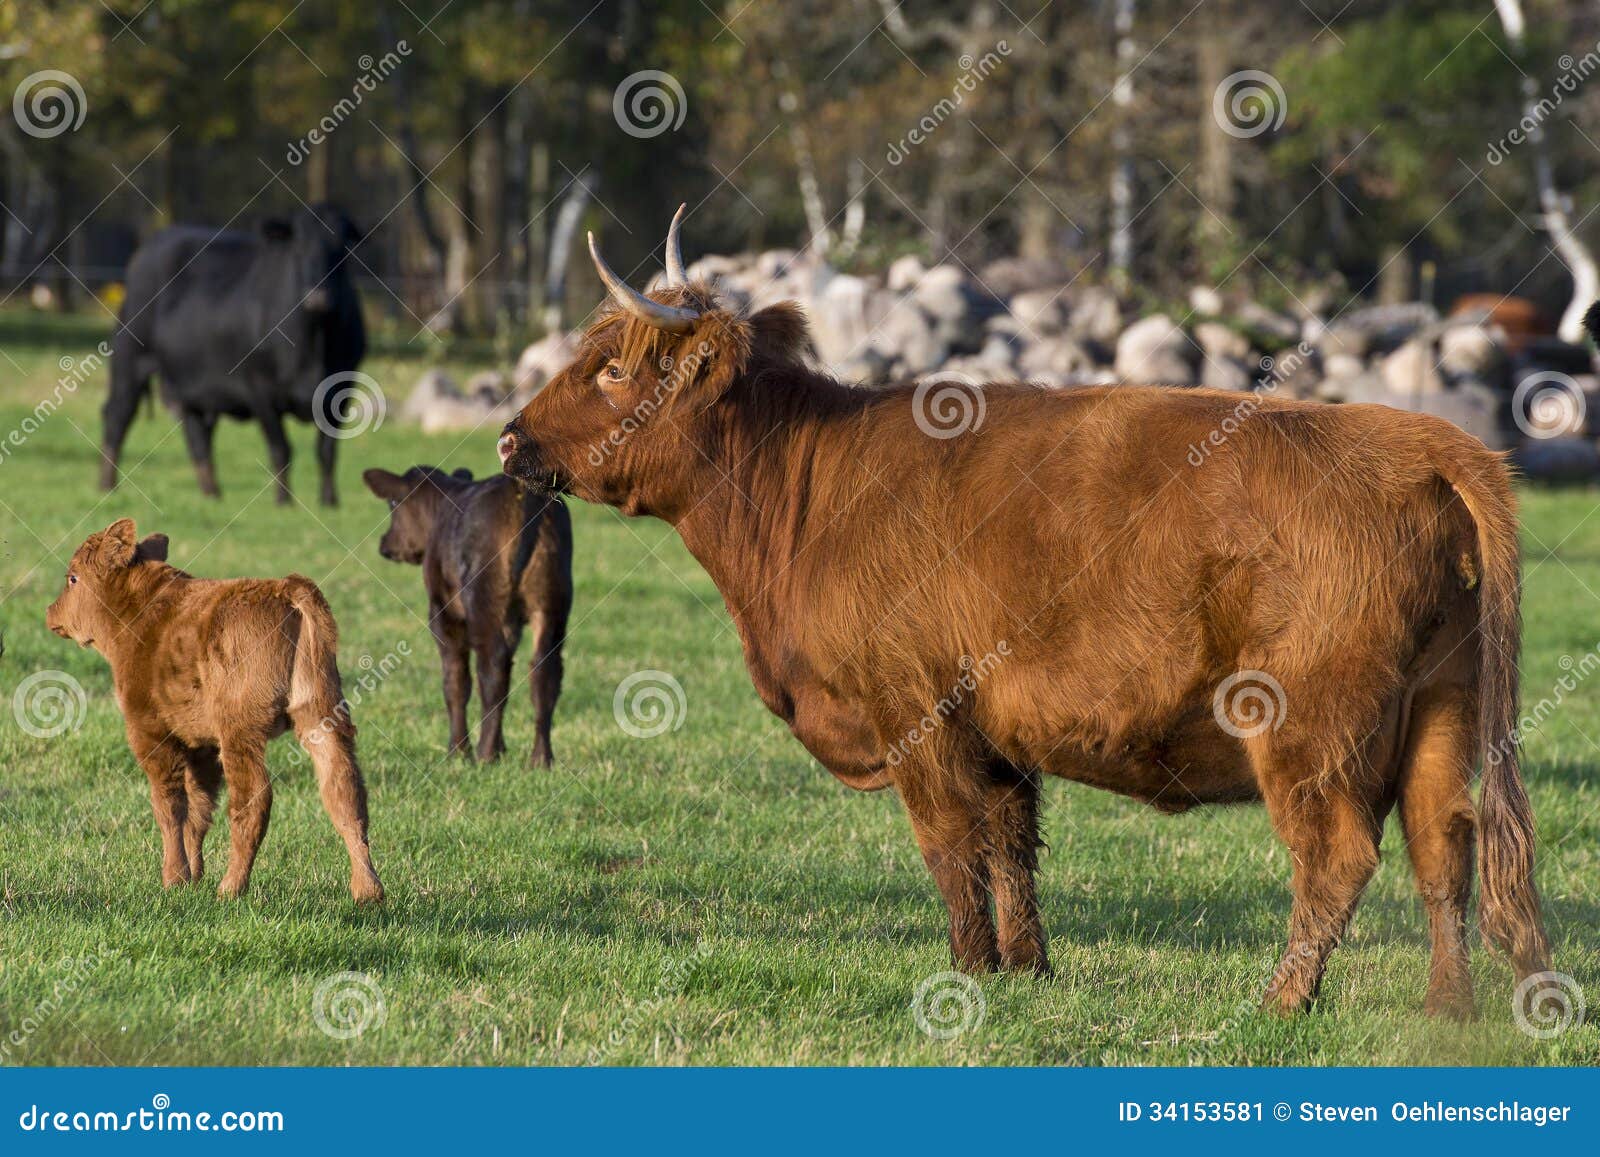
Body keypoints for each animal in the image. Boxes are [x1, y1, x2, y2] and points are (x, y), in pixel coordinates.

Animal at [45, 519, 384, 903]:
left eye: (73, 578)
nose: (51, 612)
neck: (141, 613)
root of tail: (284, 588)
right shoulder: (200, 744)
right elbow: (199, 809)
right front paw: (193, 877)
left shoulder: (149, 730)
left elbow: (170, 805)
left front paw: (174, 878)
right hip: (321, 716)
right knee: (345, 792)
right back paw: (368, 890)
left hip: (240, 730)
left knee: (253, 799)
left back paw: (231, 887)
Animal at [99, 204, 367, 506]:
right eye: (298, 246)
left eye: (341, 249)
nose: (317, 297)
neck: (313, 346)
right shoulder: (260, 389)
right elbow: (281, 448)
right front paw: (283, 501)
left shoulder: (342, 389)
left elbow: (327, 451)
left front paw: (329, 501)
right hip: (130, 358)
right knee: (118, 415)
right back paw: (107, 486)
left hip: (190, 385)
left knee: (197, 434)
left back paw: (212, 493)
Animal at [363, 464, 573, 766]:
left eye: (393, 503)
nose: (385, 544)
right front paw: (501, 746)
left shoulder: (442, 612)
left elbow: (456, 681)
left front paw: (458, 751)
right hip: (553, 603)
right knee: (545, 671)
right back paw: (541, 758)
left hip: (484, 599)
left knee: (492, 669)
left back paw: (485, 753)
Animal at [495, 208, 1554, 1017]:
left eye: (613, 372)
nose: (507, 438)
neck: (803, 492)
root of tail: (1419, 439)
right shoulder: (997, 732)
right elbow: (1010, 847)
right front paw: (1027, 971)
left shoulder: (917, 713)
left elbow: (950, 846)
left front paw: (966, 972)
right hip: (1440, 714)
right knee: (1444, 847)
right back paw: (1446, 1009)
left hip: (1307, 729)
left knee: (1337, 857)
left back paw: (1280, 1004)